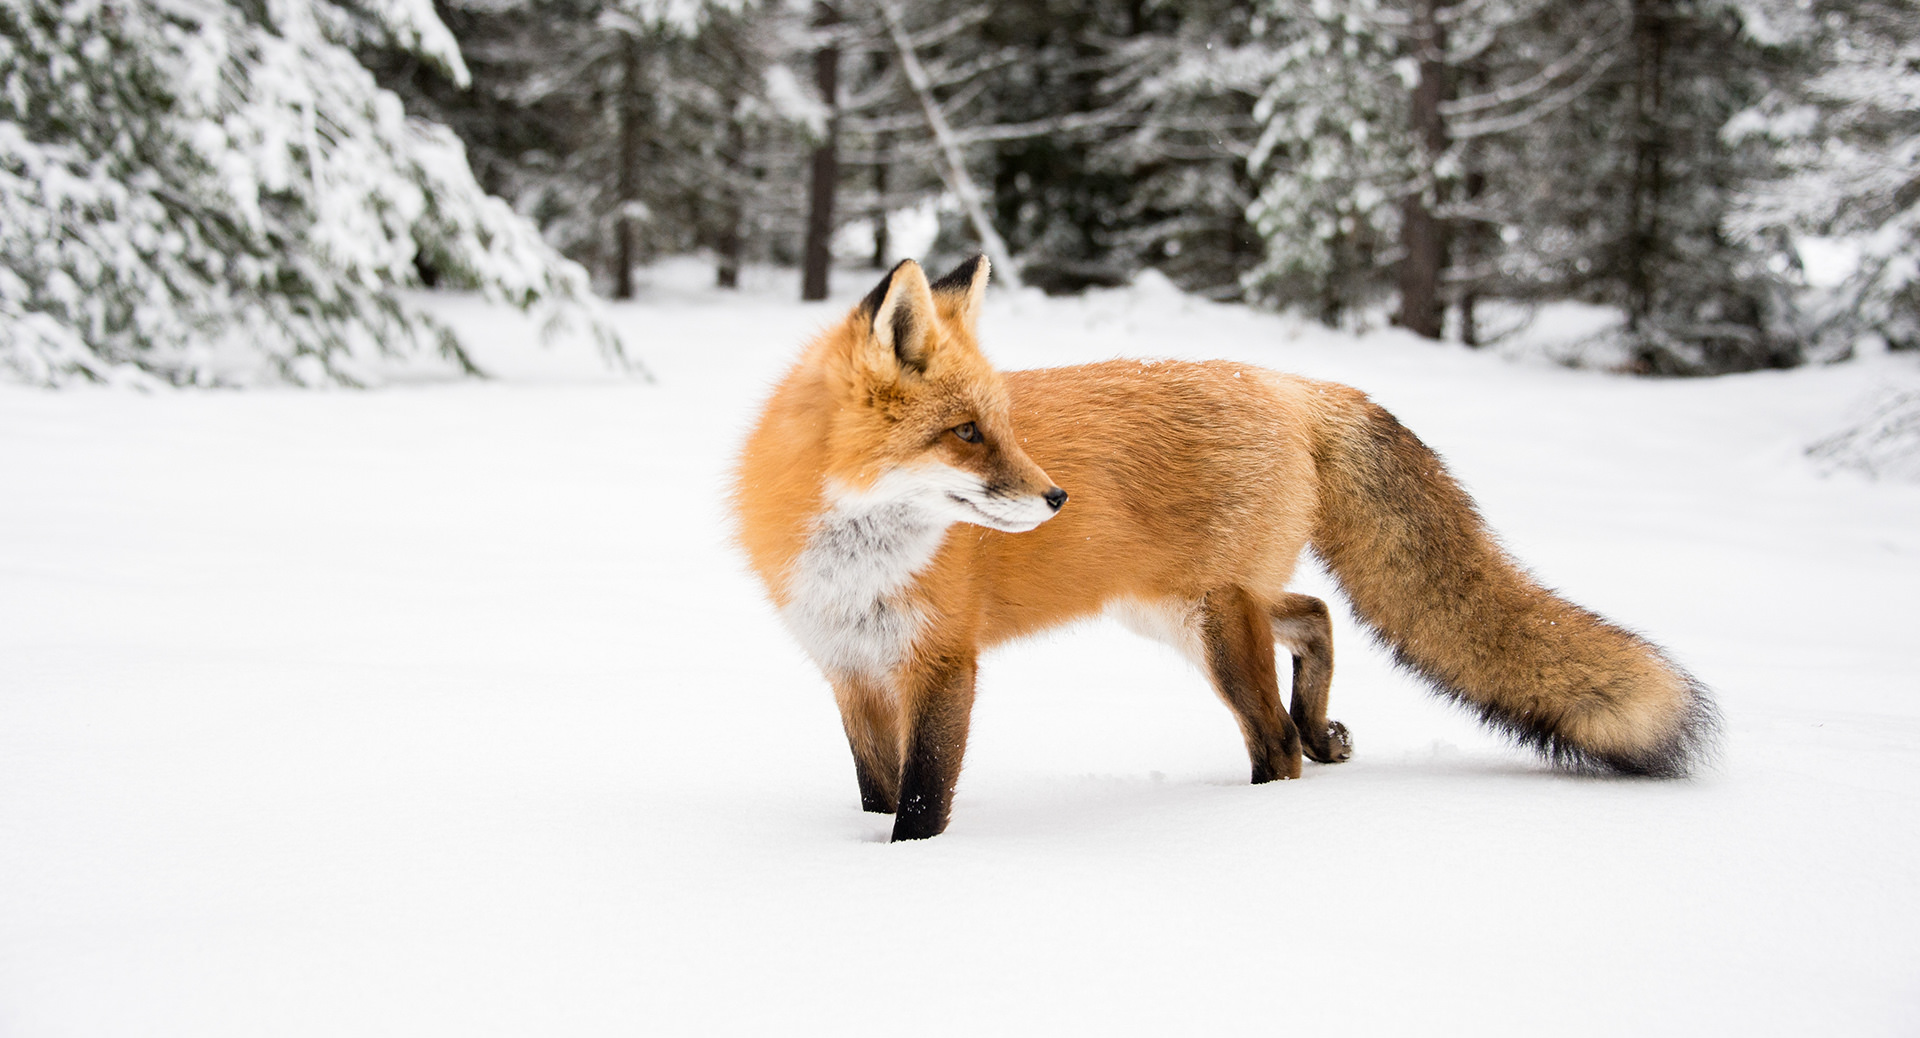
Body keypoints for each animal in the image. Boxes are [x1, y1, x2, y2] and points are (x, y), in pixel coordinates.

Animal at [732, 254, 1717, 842]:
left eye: (1002, 427)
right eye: (968, 433)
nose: (1056, 497)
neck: (858, 562)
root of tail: (1291, 384)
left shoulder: (942, 664)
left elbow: (922, 798)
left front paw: (908, 872)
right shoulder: (851, 670)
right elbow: (876, 788)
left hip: (1211, 623)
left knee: (1275, 739)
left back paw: (1254, 812)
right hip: (1179, 610)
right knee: (1315, 615)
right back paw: (1322, 731)